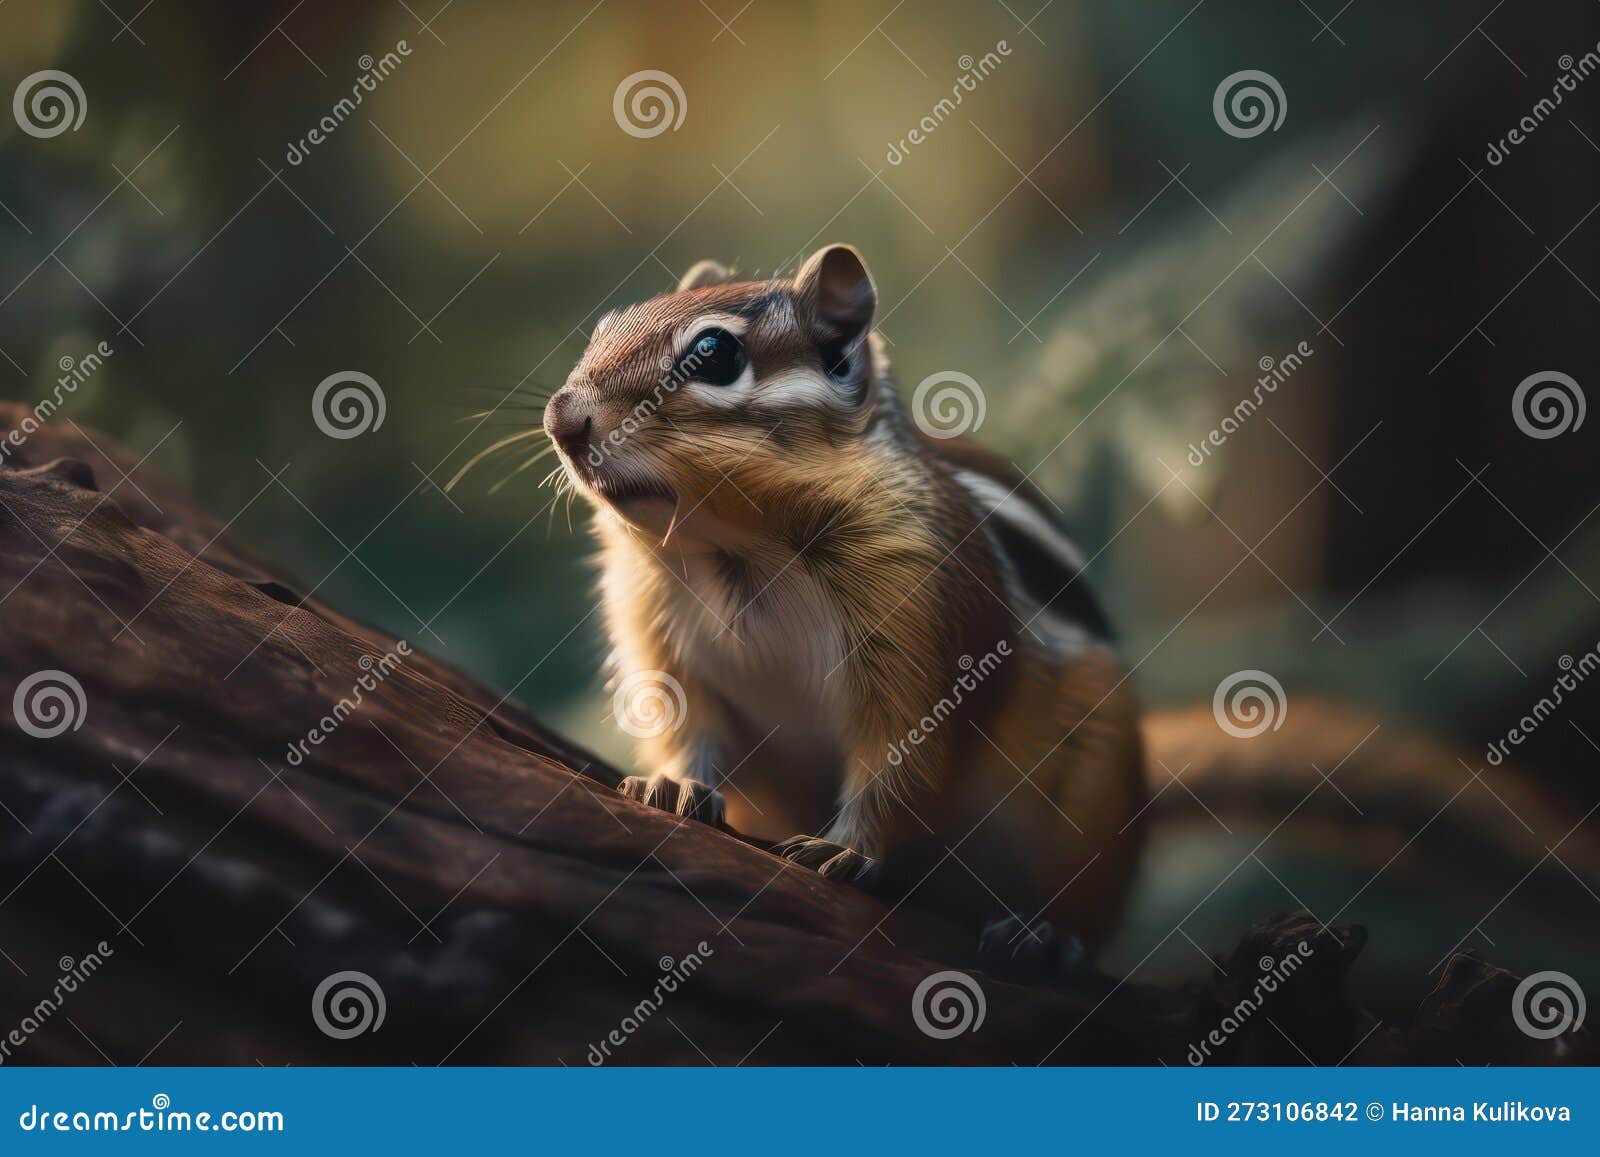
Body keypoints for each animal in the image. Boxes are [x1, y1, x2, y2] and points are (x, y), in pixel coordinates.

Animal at [543, 244, 1145, 973]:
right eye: (605, 329)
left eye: (713, 353)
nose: (562, 418)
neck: (737, 545)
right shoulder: (656, 635)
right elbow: (685, 722)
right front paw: (674, 786)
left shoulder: (923, 620)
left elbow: (906, 756)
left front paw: (847, 849)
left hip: (1097, 784)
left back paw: (1045, 933)